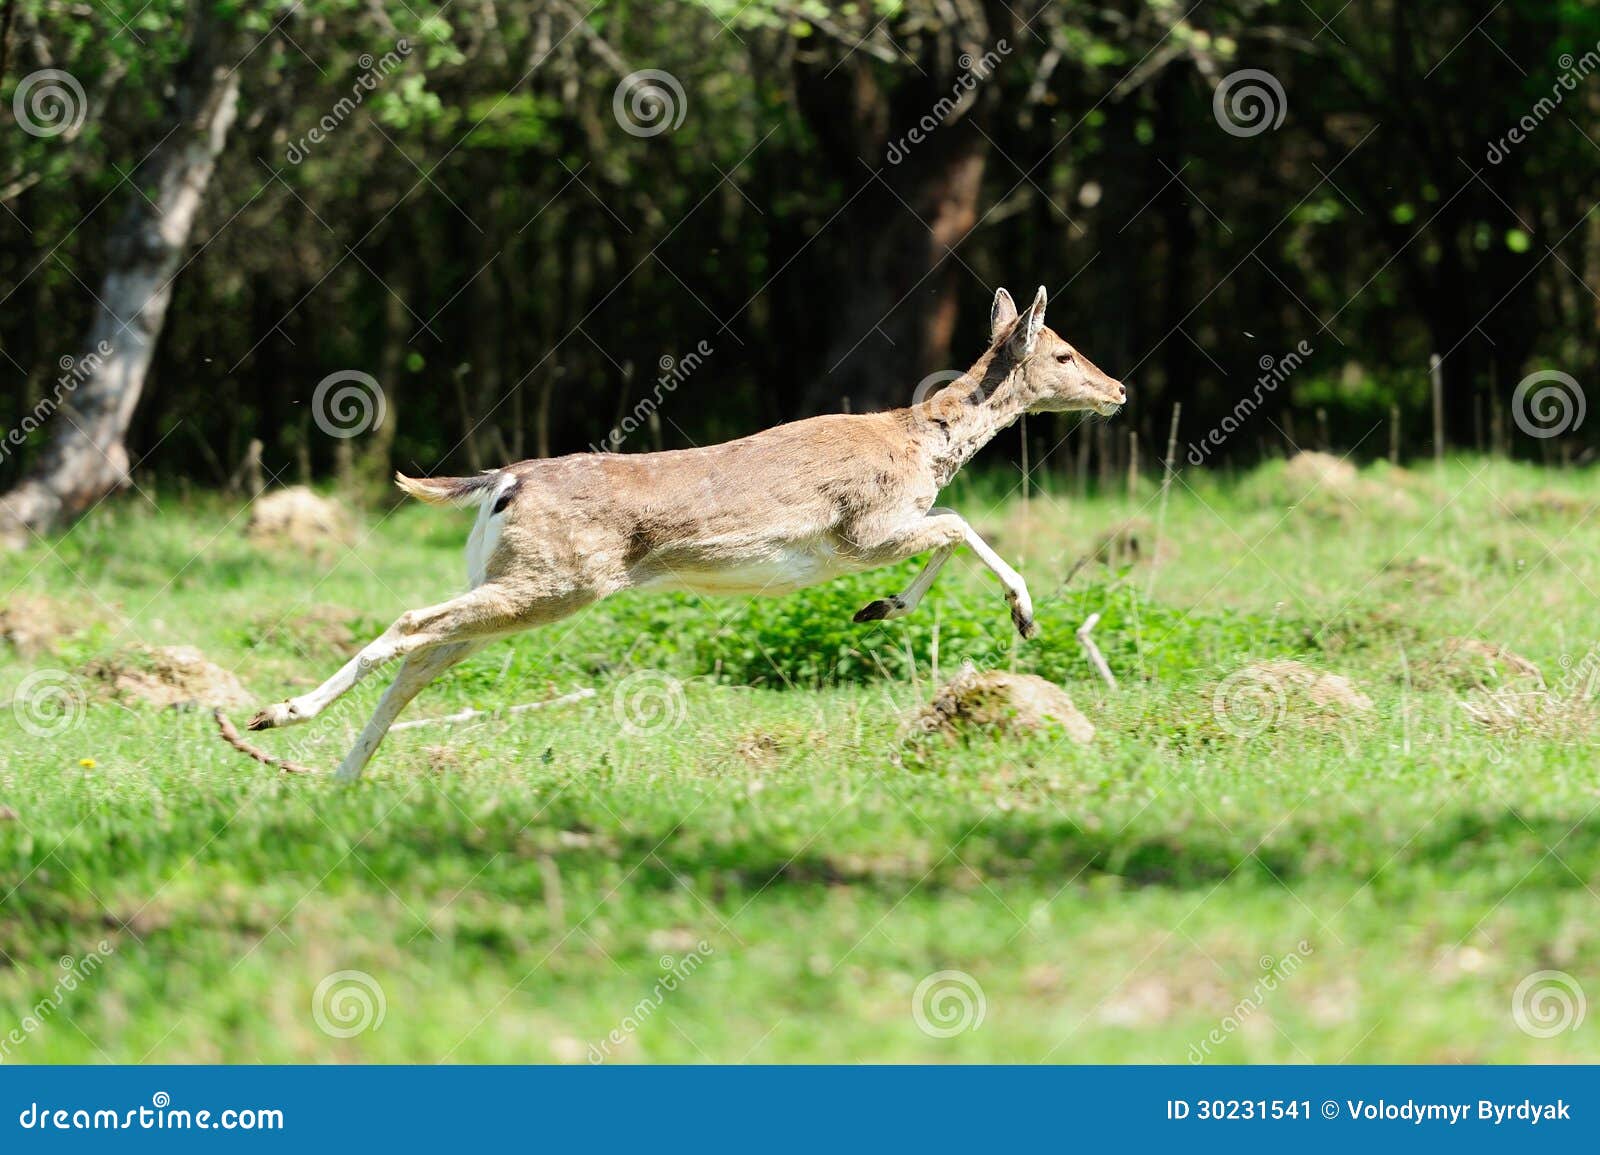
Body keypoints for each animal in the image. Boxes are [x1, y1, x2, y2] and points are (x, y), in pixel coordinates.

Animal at [241, 286, 1126, 780]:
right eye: (1064, 350)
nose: (1118, 387)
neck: (924, 445)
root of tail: (499, 483)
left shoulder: (873, 535)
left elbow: (948, 530)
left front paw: (881, 608)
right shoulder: (862, 527)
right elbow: (958, 525)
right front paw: (1021, 613)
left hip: (511, 582)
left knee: (423, 657)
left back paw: (336, 775)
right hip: (556, 579)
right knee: (408, 624)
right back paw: (278, 715)